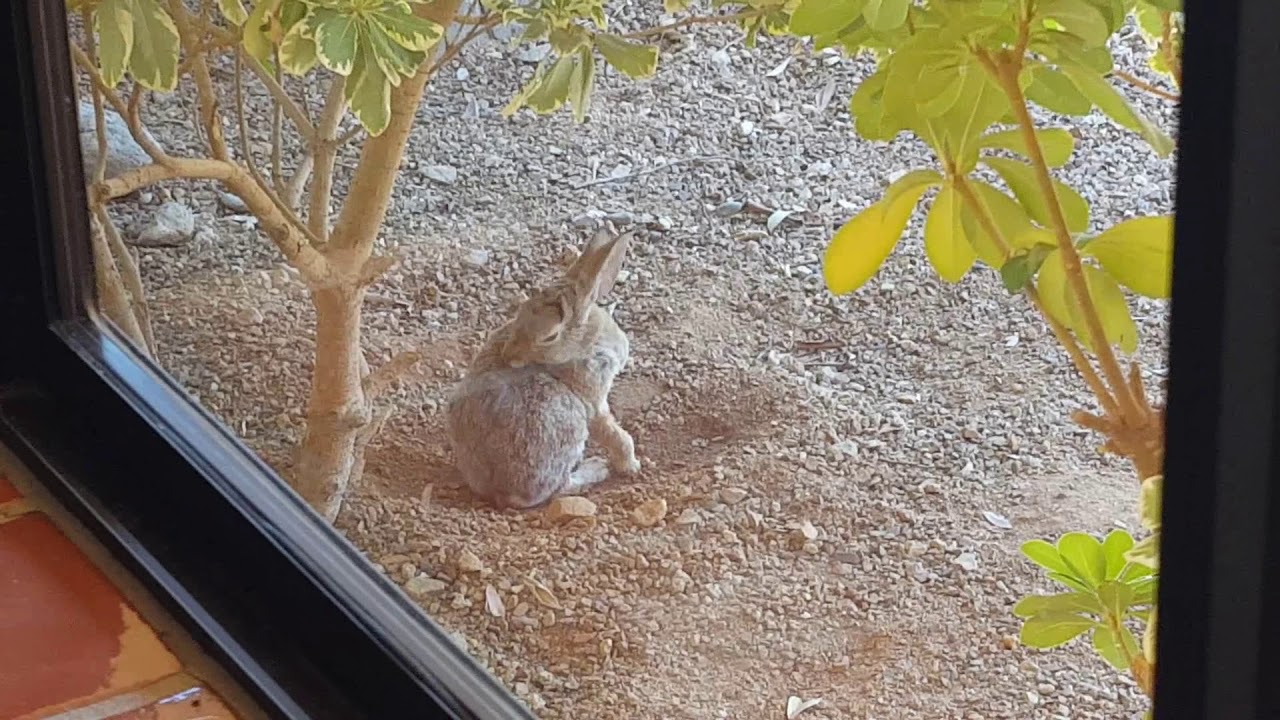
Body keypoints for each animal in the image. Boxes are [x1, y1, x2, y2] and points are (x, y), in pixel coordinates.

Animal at [445, 225, 642, 509]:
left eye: (549, 336)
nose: (508, 355)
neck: (586, 339)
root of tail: (503, 493)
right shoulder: (594, 398)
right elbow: (614, 434)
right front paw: (632, 465)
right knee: (558, 489)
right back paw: (597, 468)